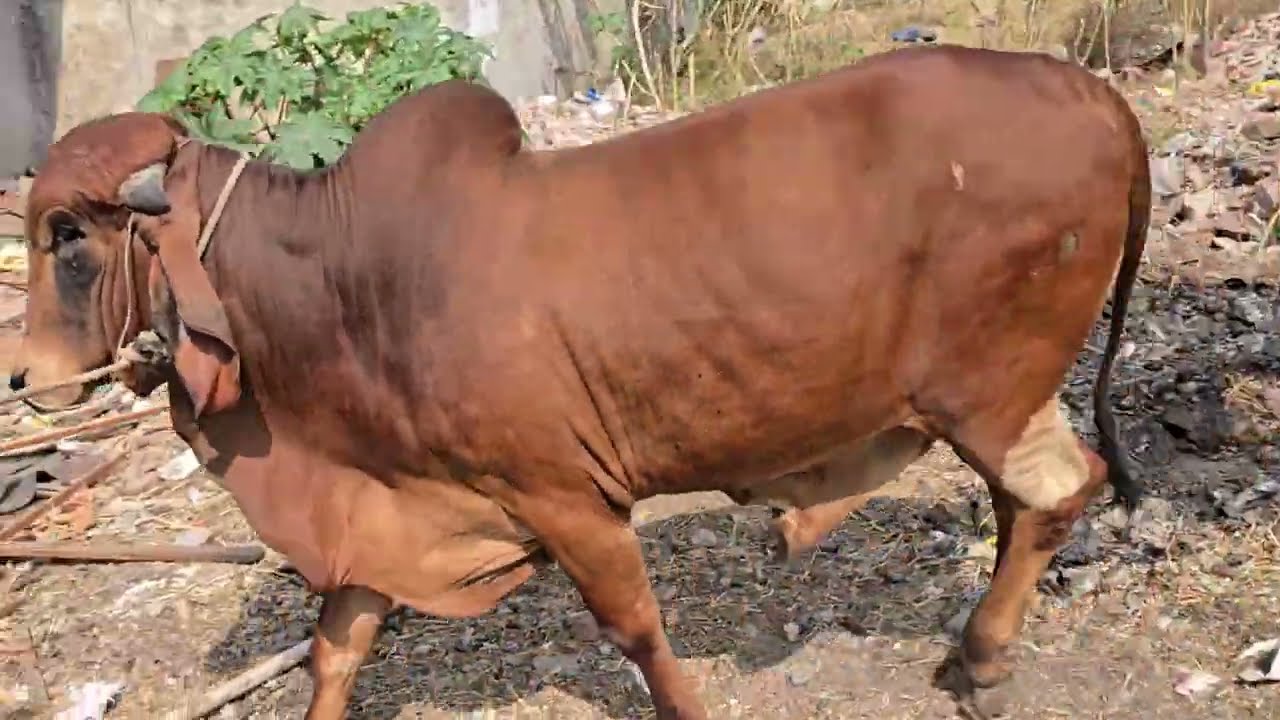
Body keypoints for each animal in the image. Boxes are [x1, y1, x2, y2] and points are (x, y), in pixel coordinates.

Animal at [9, 44, 1148, 719]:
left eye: (67, 237)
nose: (26, 379)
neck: (341, 287)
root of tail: (1095, 93)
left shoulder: (562, 496)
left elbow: (636, 630)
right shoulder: (388, 515)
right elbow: (337, 648)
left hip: (988, 389)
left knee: (1059, 490)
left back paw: (985, 659)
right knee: (1027, 502)